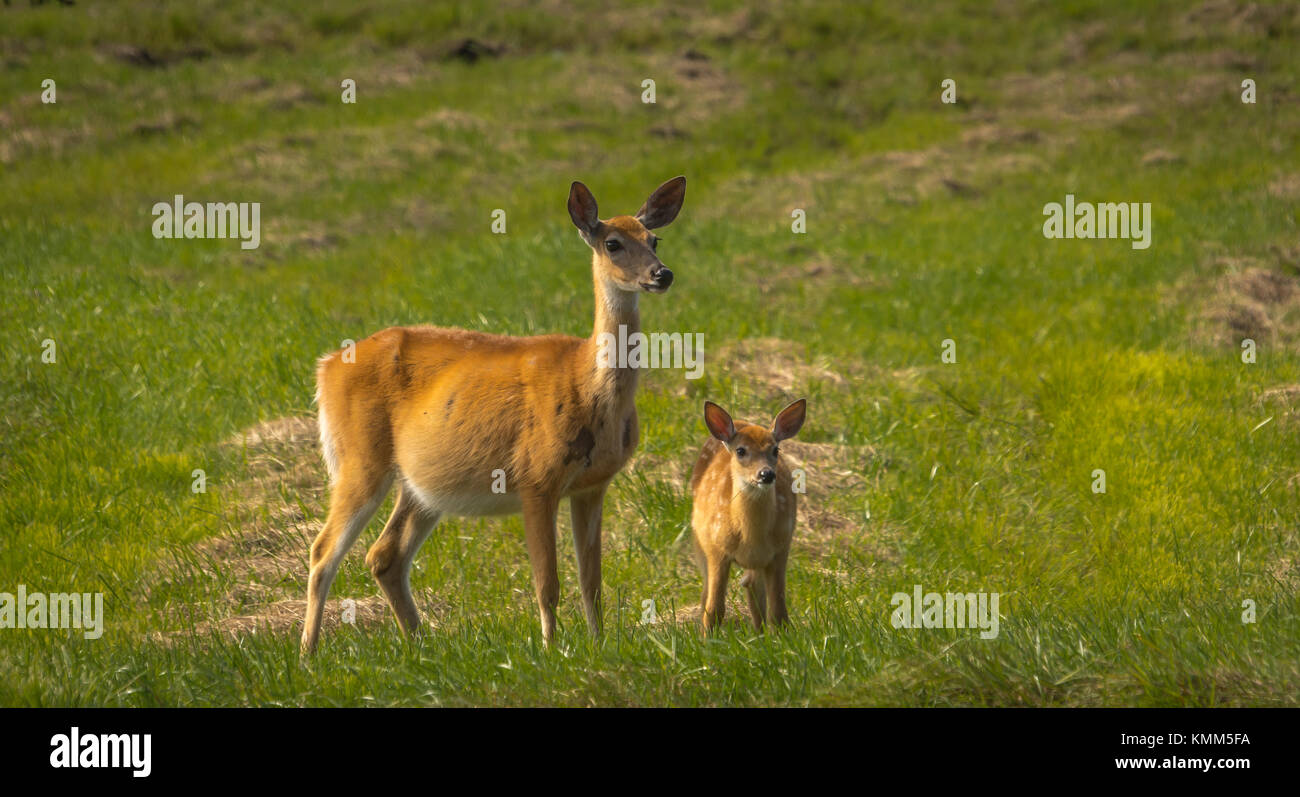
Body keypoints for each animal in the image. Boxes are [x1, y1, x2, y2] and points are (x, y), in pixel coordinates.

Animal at [300, 176, 686, 654]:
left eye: (654, 239)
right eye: (612, 243)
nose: (662, 274)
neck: (586, 384)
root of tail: (326, 366)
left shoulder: (592, 485)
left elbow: (591, 581)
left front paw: (599, 646)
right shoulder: (535, 478)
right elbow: (547, 583)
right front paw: (551, 650)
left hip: (421, 484)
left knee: (384, 555)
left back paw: (422, 645)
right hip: (359, 458)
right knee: (323, 550)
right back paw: (308, 654)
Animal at [689, 398, 807, 633]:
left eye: (776, 449)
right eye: (741, 451)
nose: (766, 474)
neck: (750, 534)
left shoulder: (781, 548)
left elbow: (778, 611)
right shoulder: (717, 549)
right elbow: (714, 609)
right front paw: (708, 638)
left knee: (753, 589)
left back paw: (760, 633)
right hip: (699, 539)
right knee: (706, 593)